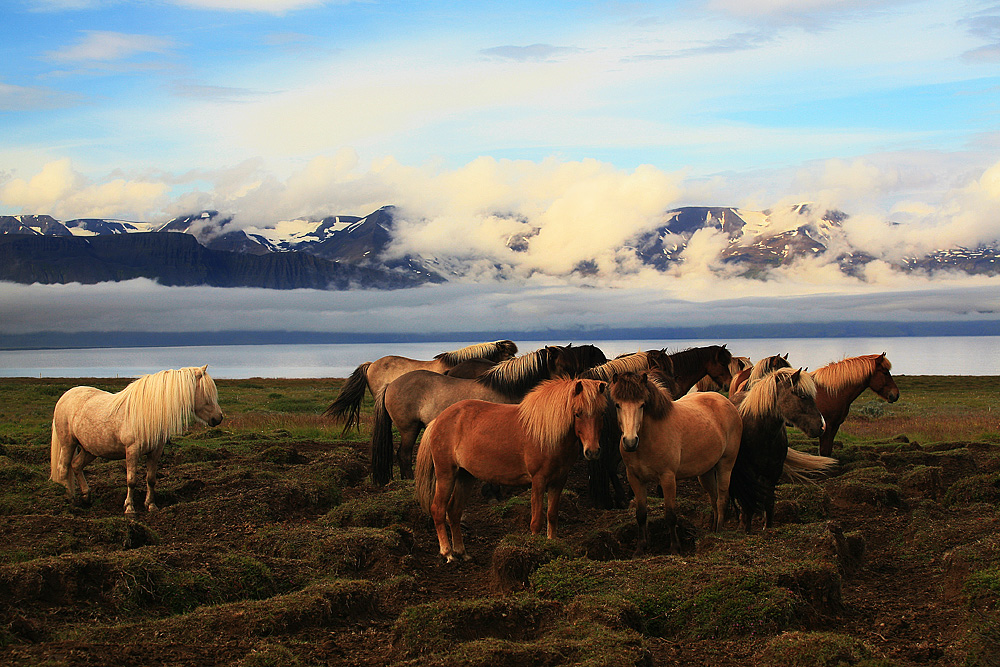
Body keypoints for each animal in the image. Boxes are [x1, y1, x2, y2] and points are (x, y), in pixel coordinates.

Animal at [49, 365, 224, 515]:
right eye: (208, 394)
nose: (219, 418)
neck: (147, 411)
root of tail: (66, 396)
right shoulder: (132, 450)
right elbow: (131, 480)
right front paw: (129, 508)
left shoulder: (155, 451)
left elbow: (151, 479)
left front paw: (151, 505)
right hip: (68, 443)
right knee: (63, 468)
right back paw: (71, 501)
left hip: (90, 449)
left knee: (76, 465)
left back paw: (86, 497)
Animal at [370, 344, 607, 484]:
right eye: (563, 366)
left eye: (576, 363)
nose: (577, 389)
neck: (508, 387)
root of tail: (391, 384)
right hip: (409, 429)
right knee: (403, 453)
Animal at [414, 378, 608, 563]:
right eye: (578, 413)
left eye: (601, 413)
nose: (592, 451)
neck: (546, 432)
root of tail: (438, 420)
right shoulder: (538, 480)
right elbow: (536, 520)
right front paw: (536, 548)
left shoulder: (559, 480)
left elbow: (552, 516)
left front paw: (552, 545)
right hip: (446, 474)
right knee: (438, 509)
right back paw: (447, 553)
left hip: (465, 476)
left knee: (454, 511)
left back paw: (462, 553)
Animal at [609, 372, 744, 556]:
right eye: (618, 405)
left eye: (642, 405)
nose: (630, 442)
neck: (650, 437)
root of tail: (727, 402)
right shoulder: (635, 478)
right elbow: (641, 514)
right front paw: (640, 548)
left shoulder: (667, 478)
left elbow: (670, 515)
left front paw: (674, 548)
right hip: (706, 472)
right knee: (714, 498)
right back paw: (712, 529)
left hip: (726, 465)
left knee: (722, 499)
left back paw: (719, 531)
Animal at [728, 367, 833, 532]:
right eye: (802, 396)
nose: (821, 427)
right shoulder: (748, 472)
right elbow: (748, 504)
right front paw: (746, 529)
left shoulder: (773, 472)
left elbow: (769, 501)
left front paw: (768, 527)